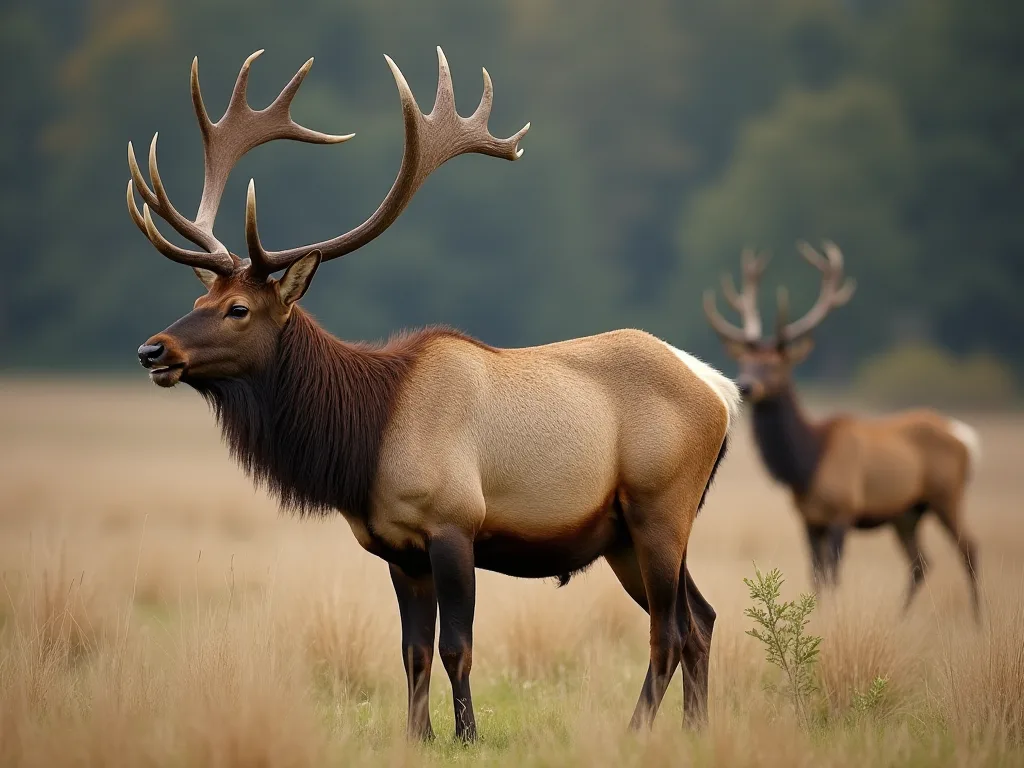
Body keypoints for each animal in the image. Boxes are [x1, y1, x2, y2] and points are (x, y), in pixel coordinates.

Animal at [126, 48, 741, 741]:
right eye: (198, 297)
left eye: (238, 309)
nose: (153, 351)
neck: (365, 440)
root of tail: (720, 391)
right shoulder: (397, 550)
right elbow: (413, 651)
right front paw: (416, 736)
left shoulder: (454, 524)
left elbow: (457, 647)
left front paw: (466, 736)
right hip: (625, 536)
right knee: (702, 618)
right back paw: (696, 731)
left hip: (661, 507)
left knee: (670, 630)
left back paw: (635, 733)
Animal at [703, 242, 981, 621]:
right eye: (743, 361)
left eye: (775, 365)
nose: (746, 385)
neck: (806, 465)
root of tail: (964, 436)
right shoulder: (808, 518)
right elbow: (816, 575)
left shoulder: (842, 511)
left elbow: (833, 575)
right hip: (907, 513)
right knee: (921, 562)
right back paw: (900, 618)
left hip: (947, 493)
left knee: (969, 548)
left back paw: (979, 621)